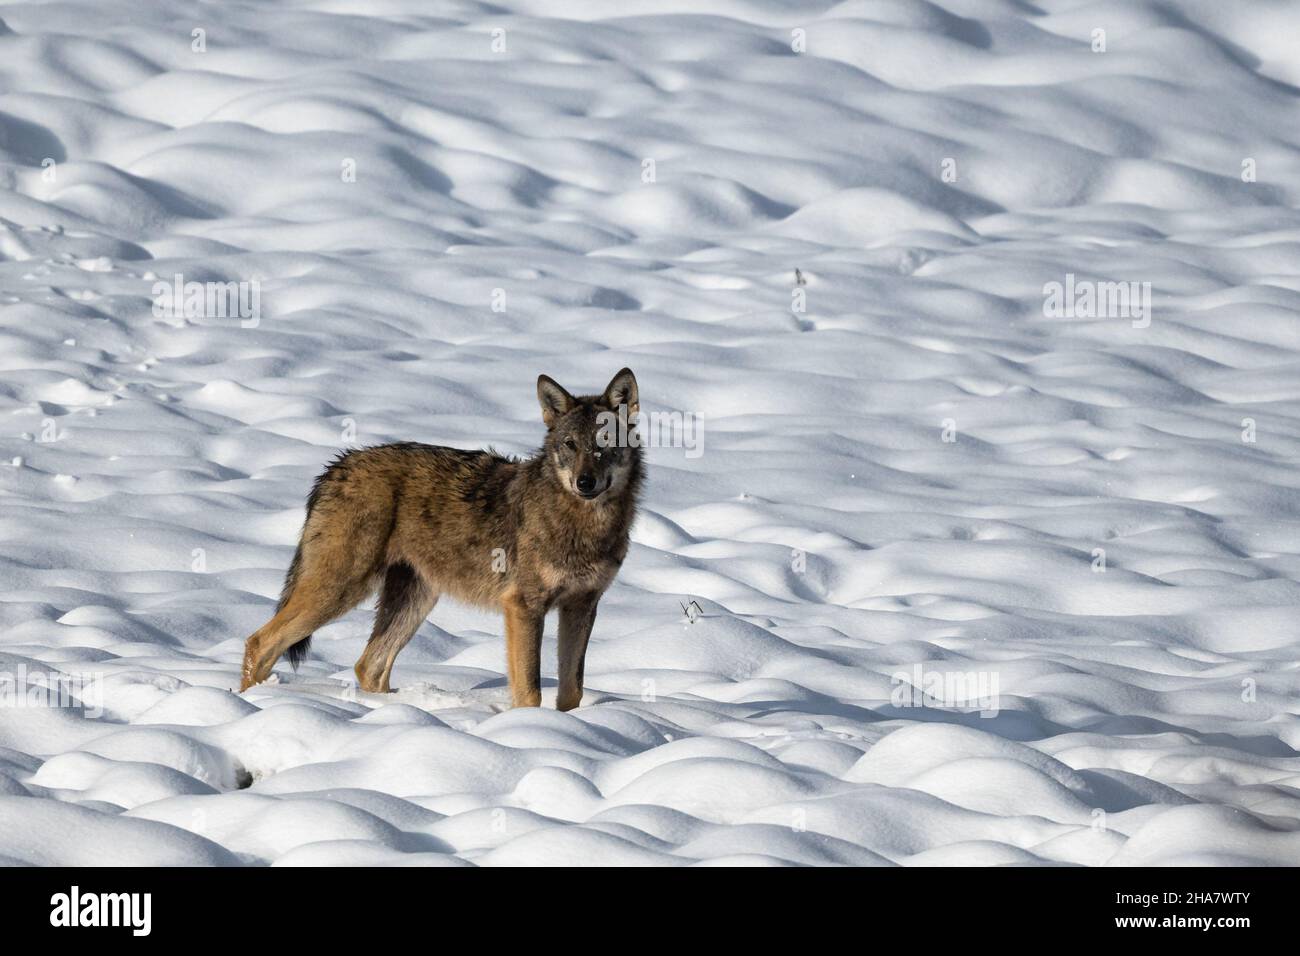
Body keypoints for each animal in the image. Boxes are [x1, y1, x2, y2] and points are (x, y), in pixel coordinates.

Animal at [238, 368, 643, 710]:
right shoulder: (523, 607)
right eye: (570, 444)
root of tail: (338, 464)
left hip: (415, 599)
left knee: (368, 665)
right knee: (260, 642)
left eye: (605, 441)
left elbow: (572, 690)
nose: (585, 482)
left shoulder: (582, 606)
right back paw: (251, 704)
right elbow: (529, 690)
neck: (583, 525)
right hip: (342, 590)